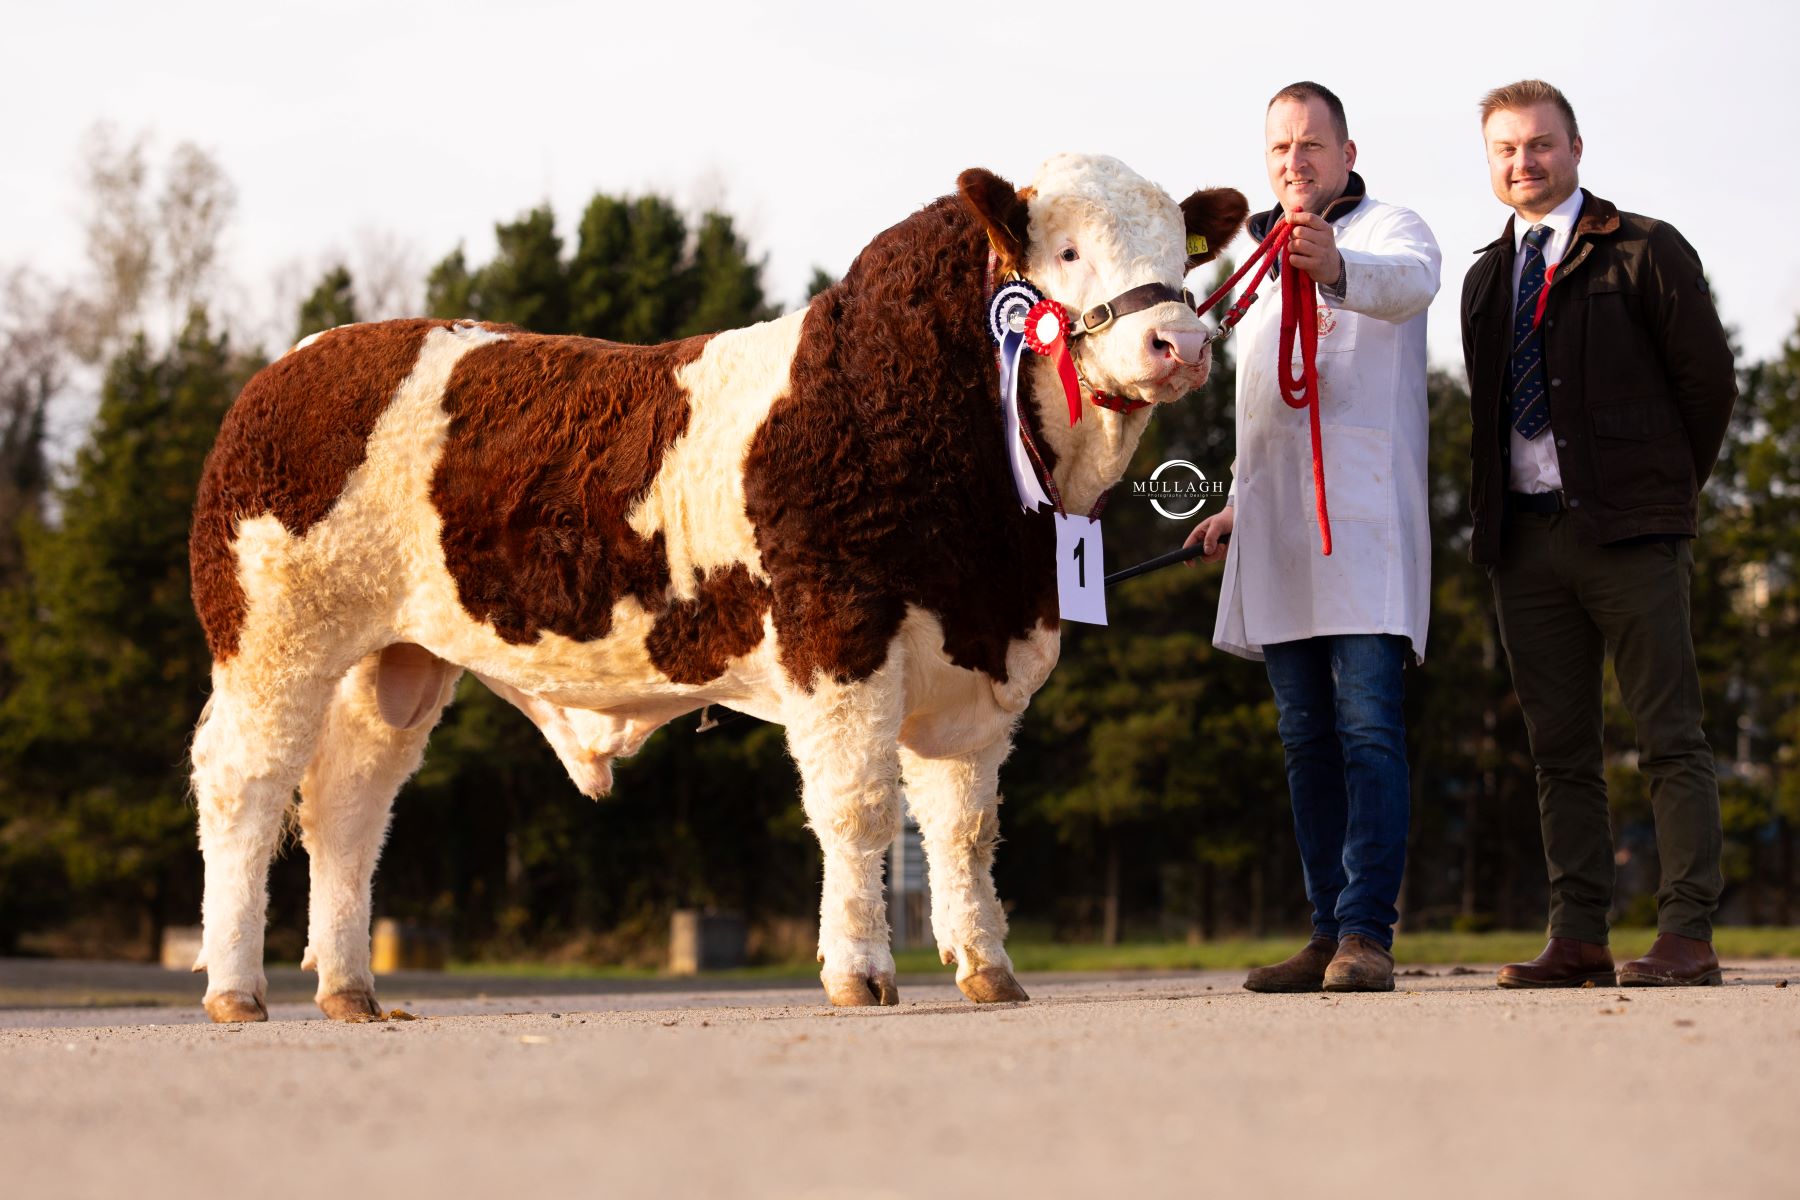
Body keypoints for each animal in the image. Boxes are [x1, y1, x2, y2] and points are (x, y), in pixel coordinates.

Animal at [186, 153, 1248, 1022]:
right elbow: (859, 807)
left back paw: (350, 989)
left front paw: (989, 969)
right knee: (246, 787)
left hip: (394, 664)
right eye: (1066, 250)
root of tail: (297, 361)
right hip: (275, 641)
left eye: (1183, 258)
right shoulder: (838, 635)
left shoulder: (981, 657)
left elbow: (965, 826)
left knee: (348, 806)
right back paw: (237, 990)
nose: (1181, 345)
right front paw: (860, 972)